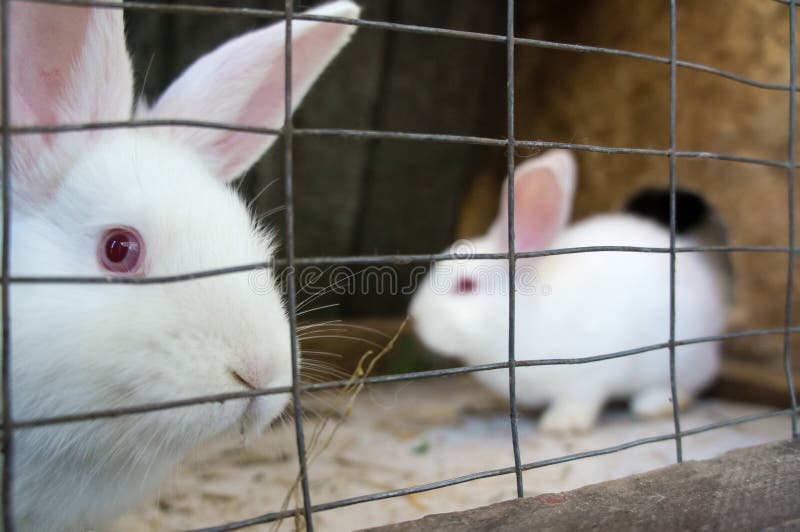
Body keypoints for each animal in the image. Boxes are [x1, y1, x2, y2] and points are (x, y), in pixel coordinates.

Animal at [409, 150, 727, 435]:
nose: (416, 318)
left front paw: (561, 423)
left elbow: (581, 398)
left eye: (466, 286)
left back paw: (653, 404)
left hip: (683, 358)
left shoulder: (592, 368)